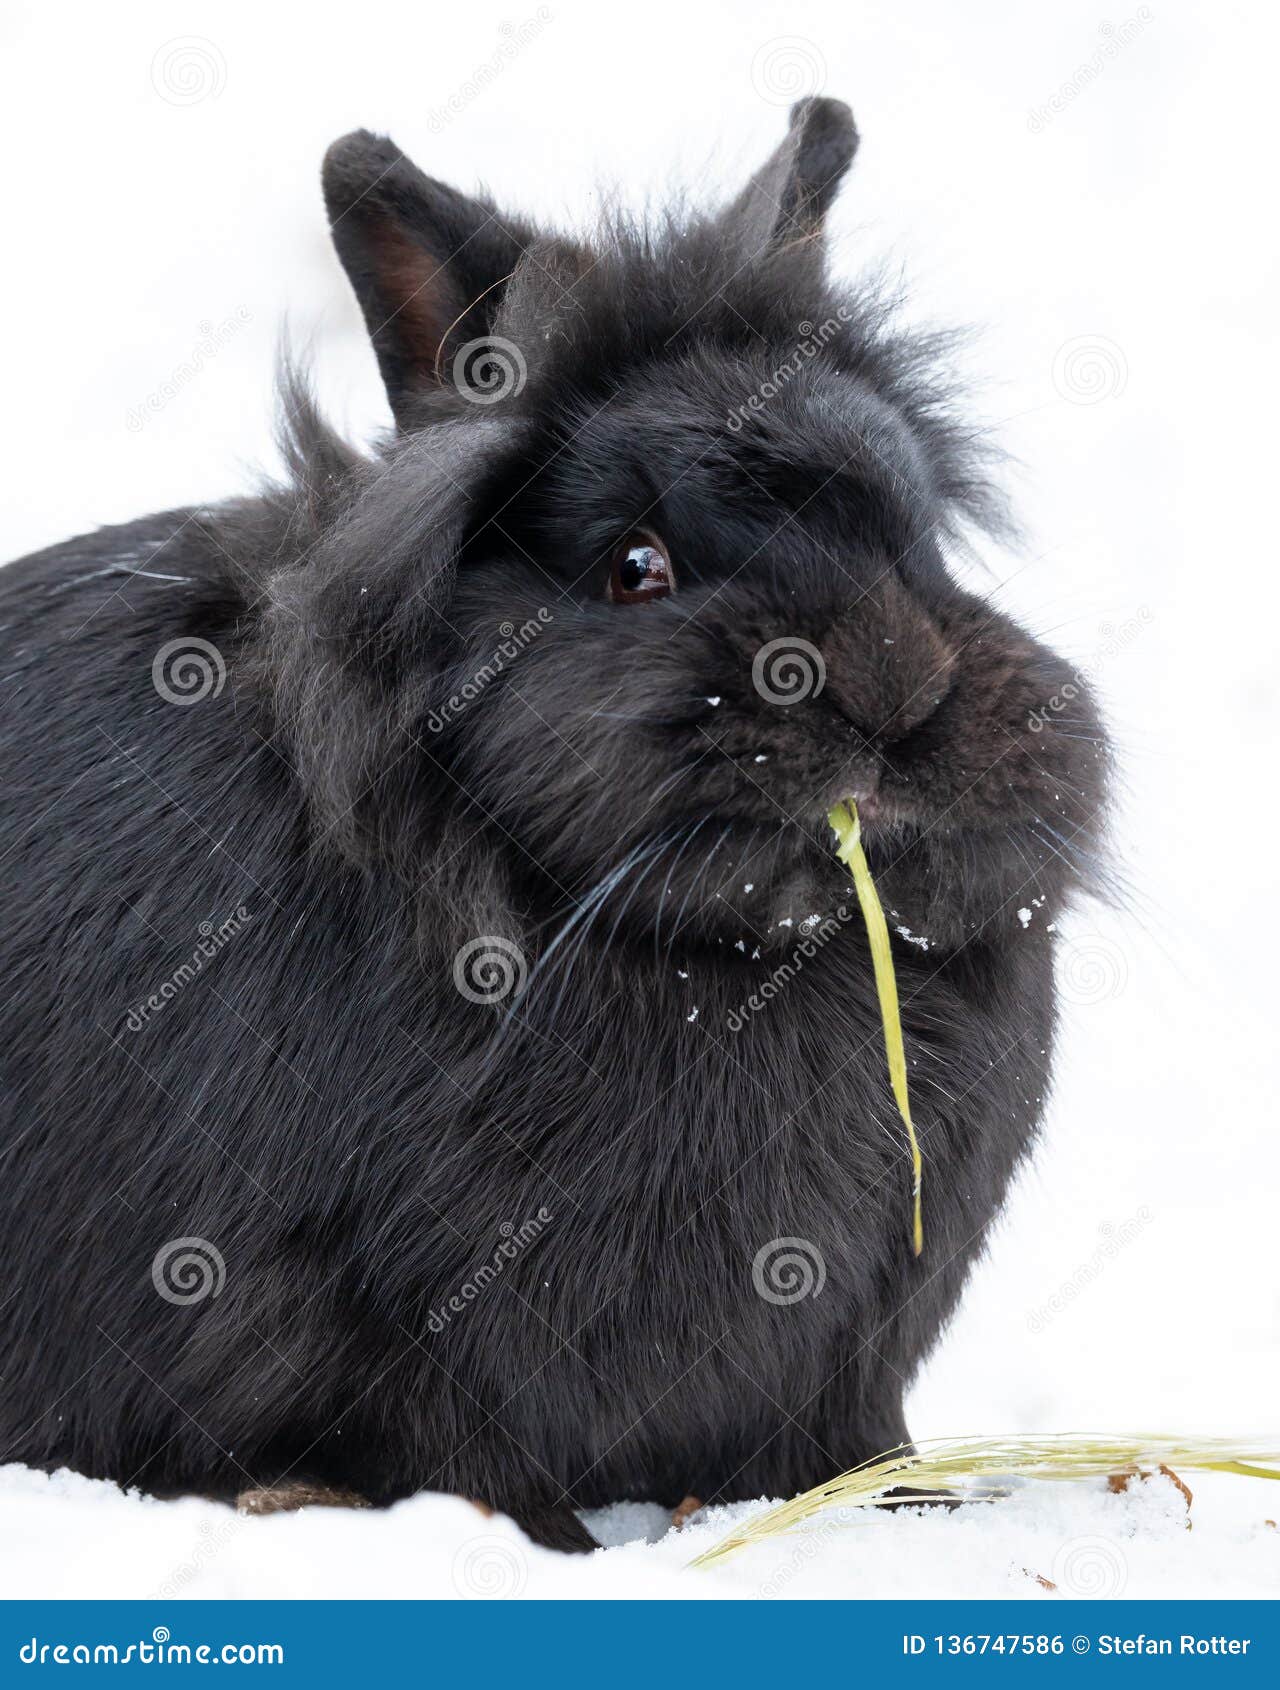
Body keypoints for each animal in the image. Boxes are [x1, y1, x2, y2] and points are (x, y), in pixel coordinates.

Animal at [0, 97, 1109, 1553]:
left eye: (917, 540)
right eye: (635, 569)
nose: (896, 687)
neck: (723, 959)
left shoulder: (844, 1365)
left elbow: (848, 1440)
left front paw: (915, 1505)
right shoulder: (372, 1324)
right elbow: (459, 1449)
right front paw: (552, 1551)